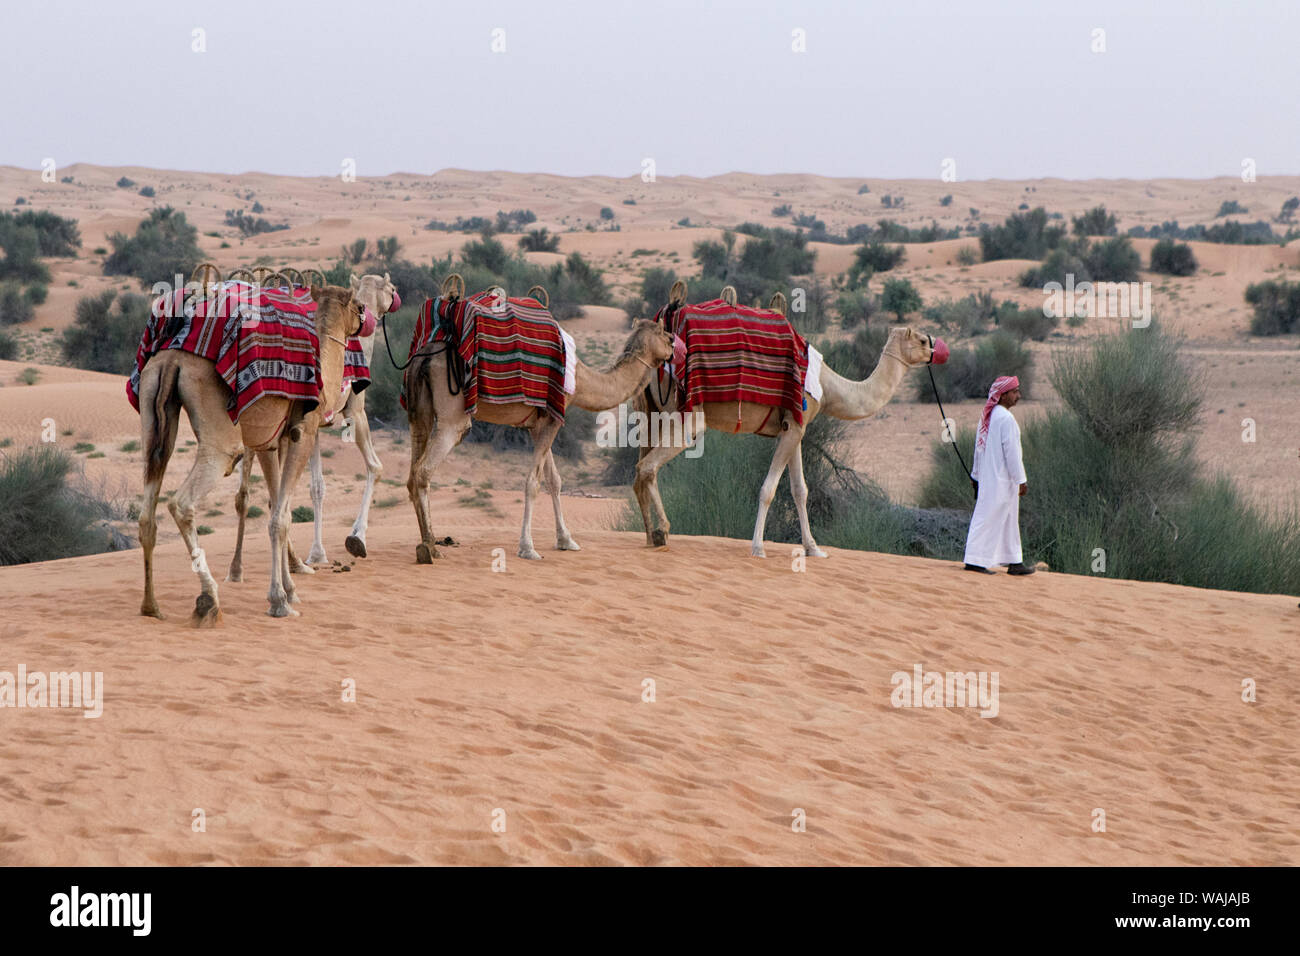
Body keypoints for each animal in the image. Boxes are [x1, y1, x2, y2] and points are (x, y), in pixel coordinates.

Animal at [136, 267, 366, 623]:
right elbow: (280, 518)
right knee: (182, 503)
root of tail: (173, 357)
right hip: (219, 434)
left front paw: (289, 590)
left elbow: (278, 510)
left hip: (152, 409)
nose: (366, 319)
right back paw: (209, 599)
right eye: (358, 304)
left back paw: (151, 606)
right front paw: (279, 600)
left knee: (147, 510)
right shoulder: (303, 433)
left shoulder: (269, 442)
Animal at [226, 272, 397, 583]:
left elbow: (316, 487)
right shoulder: (355, 411)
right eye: (391, 288)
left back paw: (237, 570)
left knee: (243, 496)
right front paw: (355, 540)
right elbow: (374, 467)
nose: (395, 297)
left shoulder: (314, 428)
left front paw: (316, 554)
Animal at [404, 281, 676, 563]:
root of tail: (426, 354)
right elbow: (533, 483)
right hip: (453, 415)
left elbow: (554, 480)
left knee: (413, 471)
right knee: (424, 470)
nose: (674, 345)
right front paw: (527, 547)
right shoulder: (554, 417)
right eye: (664, 332)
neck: (580, 379)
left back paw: (428, 544)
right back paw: (429, 548)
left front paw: (566, 540)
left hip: (418, 411)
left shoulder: (538, 423)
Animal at [633, 283, 947, 558]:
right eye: (921, 340)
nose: (939, 349)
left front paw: (814, 548)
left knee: (640, 468)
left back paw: (650, 535)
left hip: (651, 411)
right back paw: (662, 532)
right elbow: (768, 490)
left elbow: (800, 490)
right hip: (686, 412)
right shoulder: (797, 422)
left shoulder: (794, 426)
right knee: (649, 465)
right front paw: (758, 548)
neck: (827, 385)